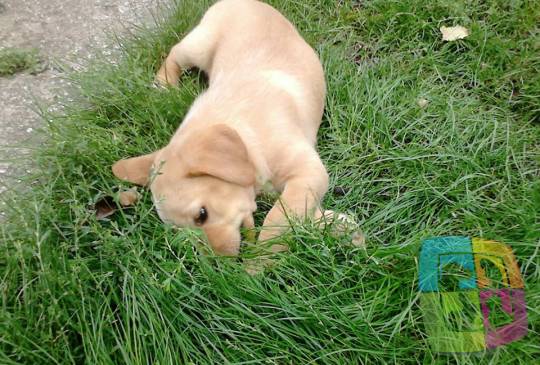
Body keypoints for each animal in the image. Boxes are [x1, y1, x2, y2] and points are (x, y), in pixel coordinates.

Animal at [112, 0, 326, 255]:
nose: (223, 263)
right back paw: (164, 85)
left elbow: (278, 219)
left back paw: (162, 84)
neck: (247, 136)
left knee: (174, 50)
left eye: (201, 215)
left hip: (198, 46)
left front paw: (260, 261)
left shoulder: (308, 173)